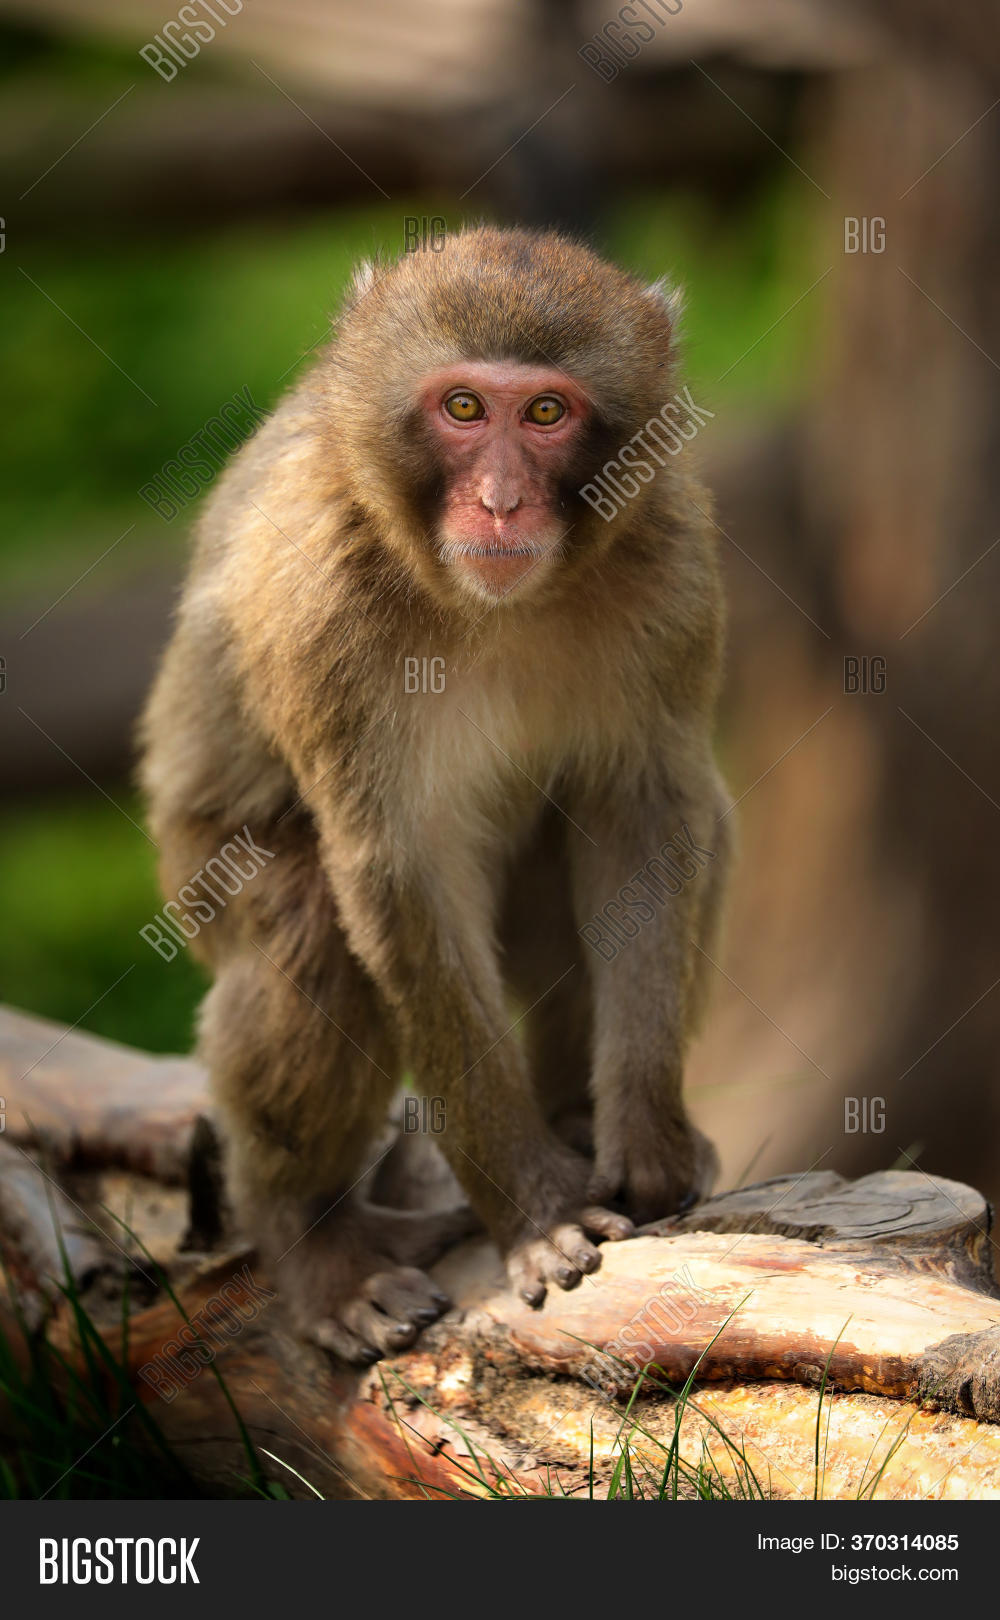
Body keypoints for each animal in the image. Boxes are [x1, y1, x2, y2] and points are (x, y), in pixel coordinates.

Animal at [139, 225, 731, 1364]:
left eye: (543, 414)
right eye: (462, 408)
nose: (499, 501)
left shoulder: (673, 552)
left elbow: (643, 811)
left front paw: (645, 1141)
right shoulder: (318, 598)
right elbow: (394, 875)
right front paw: (536, 1214)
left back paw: (573, 1112)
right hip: (199, 886)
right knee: (309, 922)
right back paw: (311, 1235)